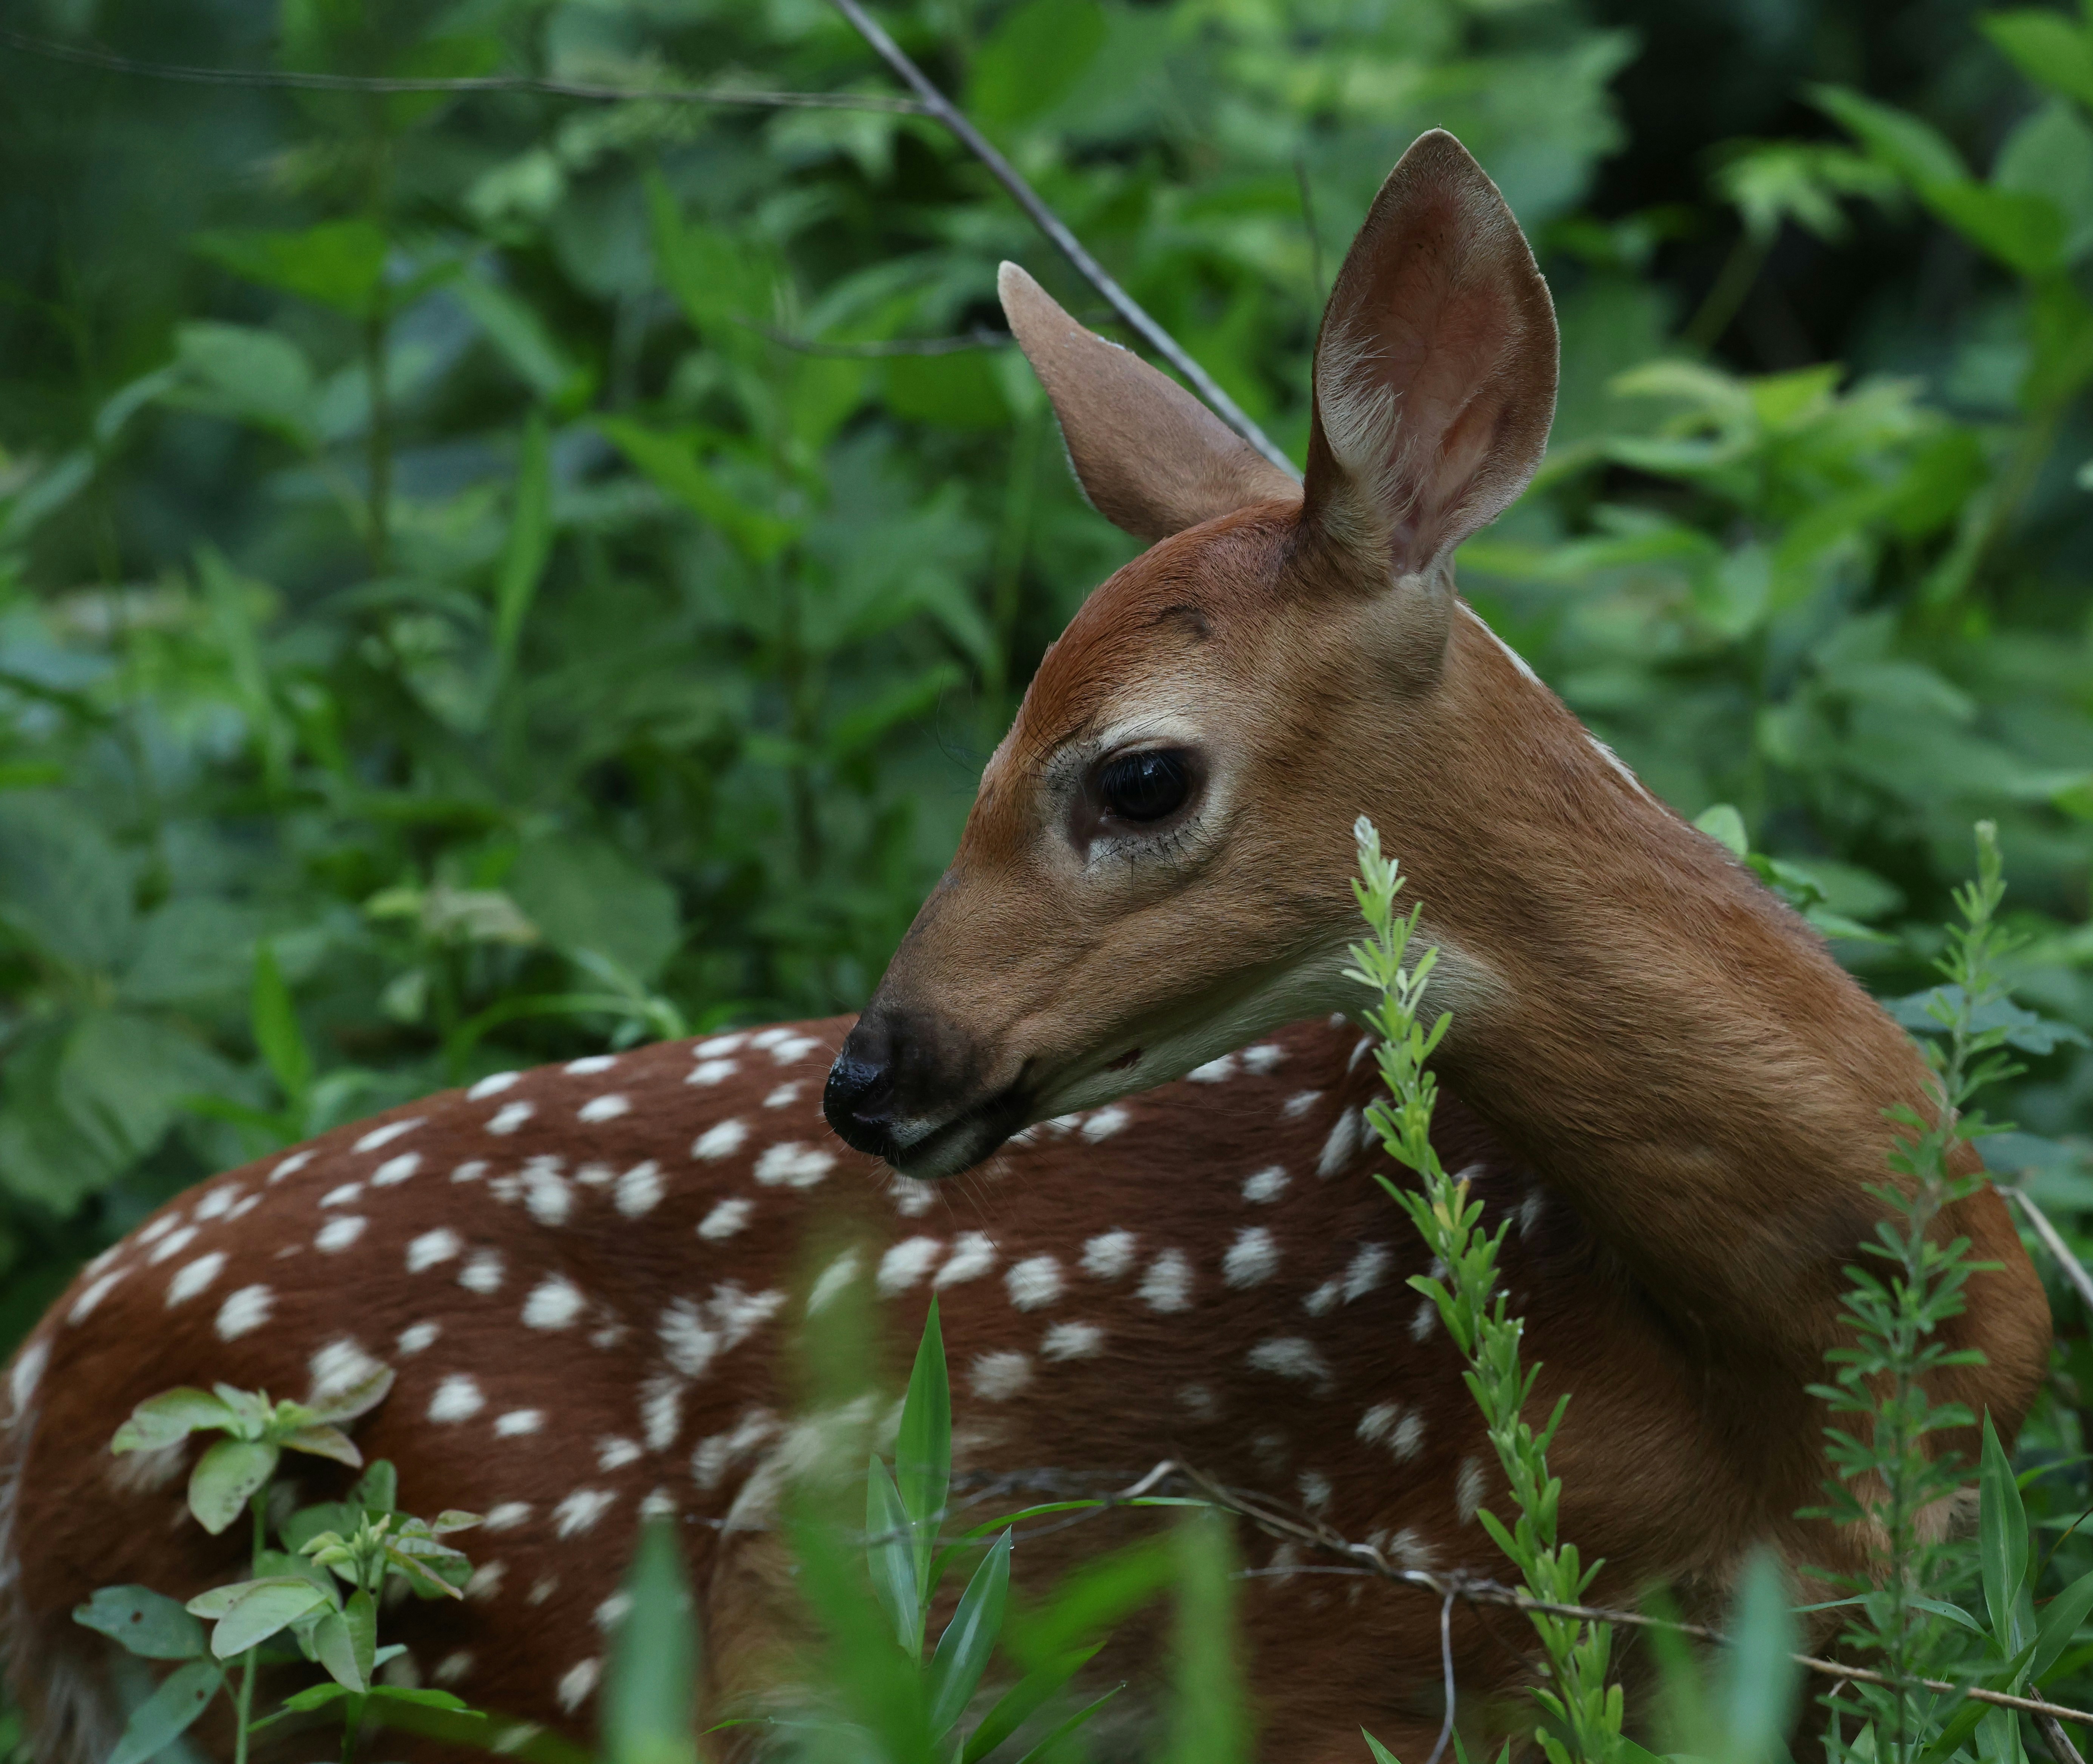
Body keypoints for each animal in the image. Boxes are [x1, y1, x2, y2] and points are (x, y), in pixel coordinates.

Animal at [0, 130, 2052, 1763]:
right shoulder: (1372, 1610)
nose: (875, 1072)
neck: (1790, 1364)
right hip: (502, 1598)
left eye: (1133, 774)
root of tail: (44, 1392)